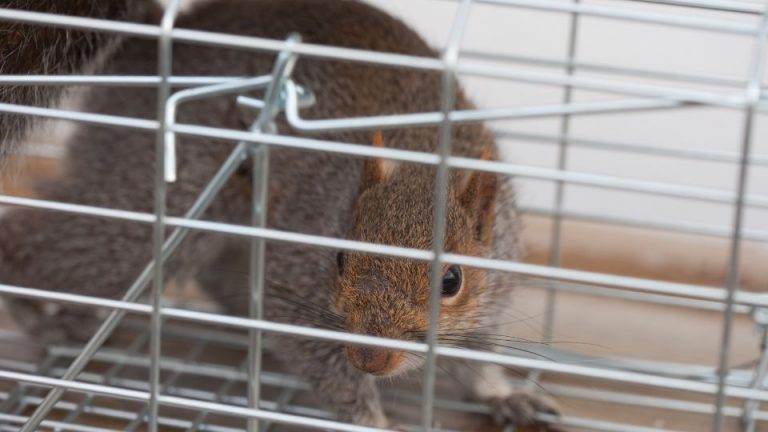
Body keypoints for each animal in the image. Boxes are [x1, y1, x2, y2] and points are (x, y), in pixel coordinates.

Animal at [0, 0, 559, 428]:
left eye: (452, 280)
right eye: (338, 258)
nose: (370, 359)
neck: (422, 153)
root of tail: (166, 35)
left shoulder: (494, 291)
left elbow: (477, 353)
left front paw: (501, 391)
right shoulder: (296, 273)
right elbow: (317, 356)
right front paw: (376, 420)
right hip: (159, 198)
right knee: (37, 240)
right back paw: (30, 314)